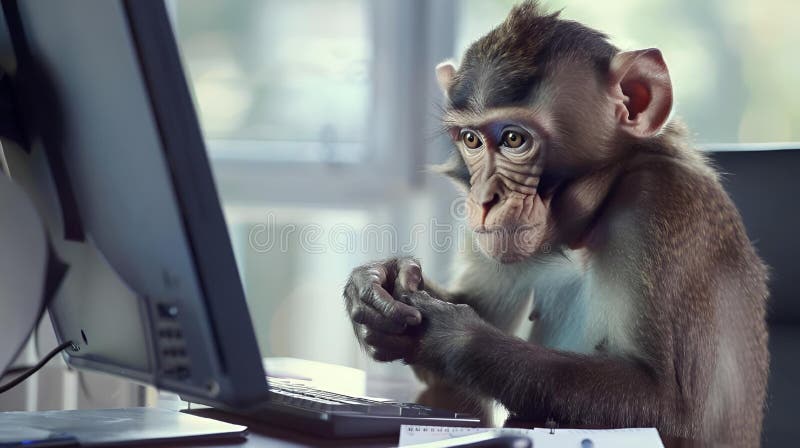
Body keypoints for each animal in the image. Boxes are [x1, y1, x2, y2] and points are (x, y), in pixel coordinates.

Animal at [342, 2, 769, 446]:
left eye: (514, 139)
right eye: (471, 140)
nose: (484, 198)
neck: (586, 227)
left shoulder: (662, 201)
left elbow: (672, 407)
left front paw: (450, 335)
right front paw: (377, 286)